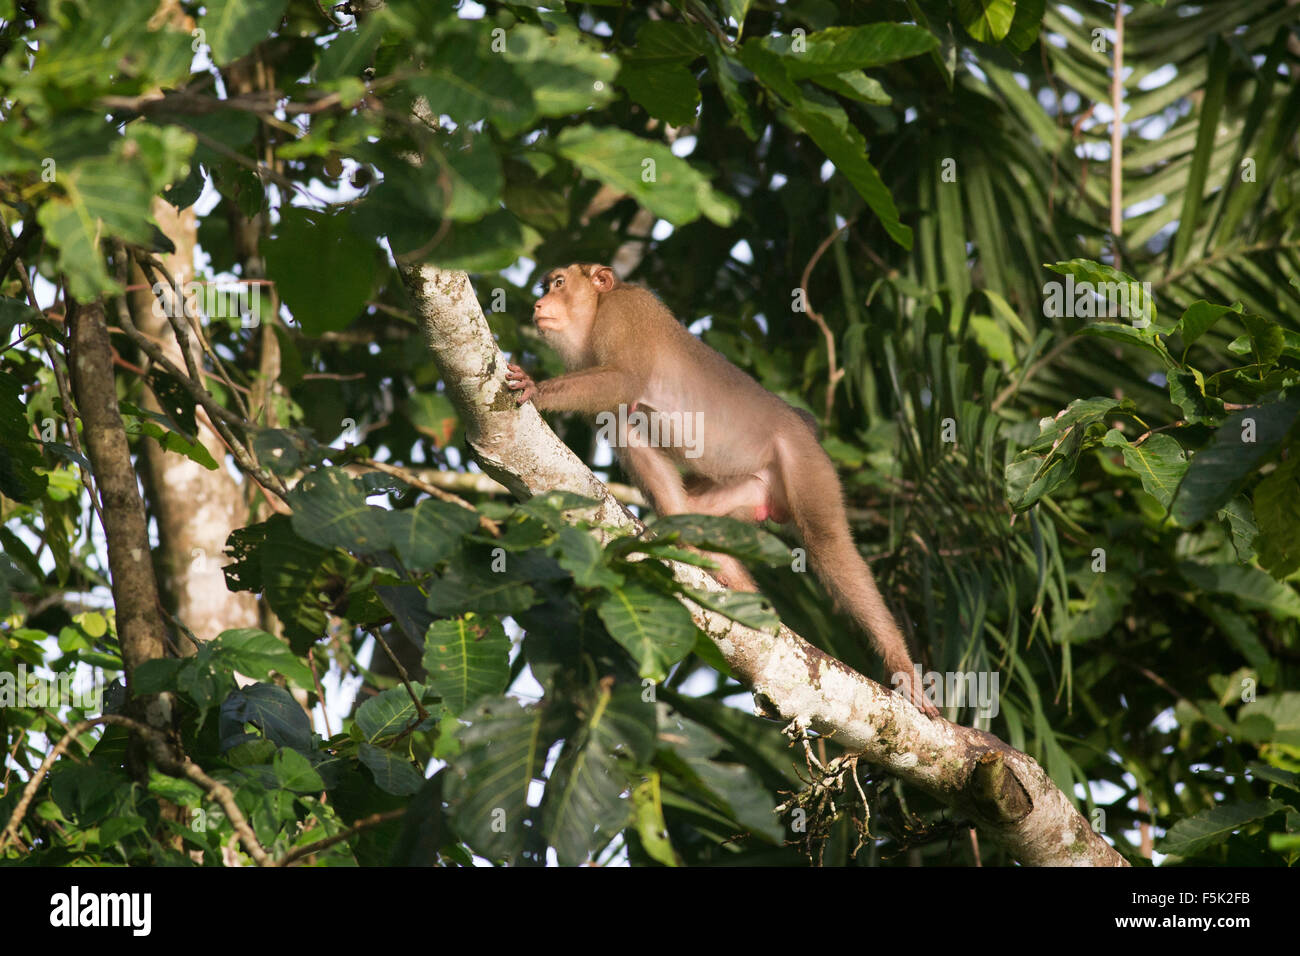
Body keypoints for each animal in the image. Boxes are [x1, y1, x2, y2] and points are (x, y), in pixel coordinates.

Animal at [505, 263, 938, 717]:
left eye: (558, 283)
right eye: (546, 286)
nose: (539, 303)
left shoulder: (625, 313)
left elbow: (624, 380)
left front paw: (537, 388)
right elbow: (632, 436)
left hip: (805, 464)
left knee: (828, 543)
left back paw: (898, 659)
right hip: (758, 489)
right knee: (694, 504)